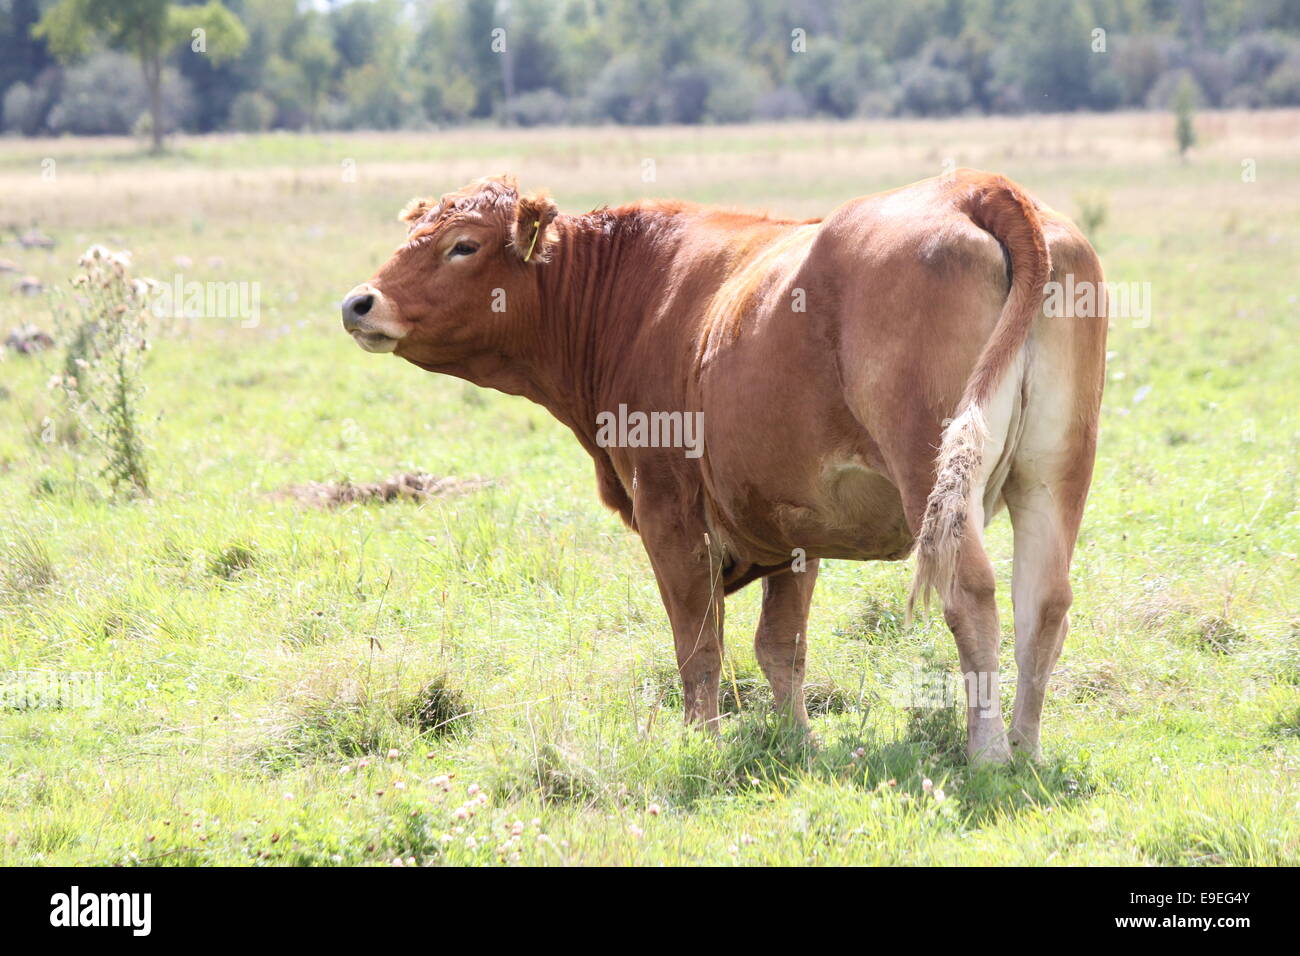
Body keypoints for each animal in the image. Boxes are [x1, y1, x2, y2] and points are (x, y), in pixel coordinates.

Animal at [340, 170, 1107, 764]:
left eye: (462, 245)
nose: (358, 302)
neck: (634, 294)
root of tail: (975, 187)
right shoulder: (797, 526)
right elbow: (781, 648)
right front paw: (798, 741)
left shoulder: (669, 509)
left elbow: (698, 641)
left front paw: (700, 740)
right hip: (1054, 475)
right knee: (1043, 602)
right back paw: (1027, 746)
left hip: (932, 472)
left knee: (971, 594)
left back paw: (988, 751)